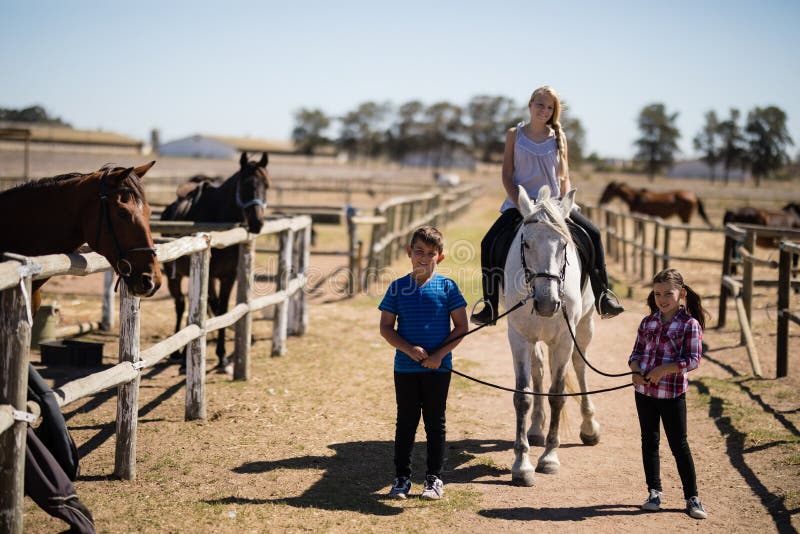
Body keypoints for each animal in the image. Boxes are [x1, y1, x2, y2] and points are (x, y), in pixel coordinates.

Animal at [161, 152, 269, 369]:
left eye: (266, 186)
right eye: (245, 185)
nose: (257, 223)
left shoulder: (229, 277)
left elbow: (222, 310)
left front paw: (223, 356)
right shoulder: (209, 275)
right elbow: (209, 307)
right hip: (173, 276)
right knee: (180, 305)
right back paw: (177, 352)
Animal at [504, 185, 600, 486]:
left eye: (564, 245)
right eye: (526, 244)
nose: (547, 304)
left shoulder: (564, 339)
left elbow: (557, 394)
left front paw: (549, 459)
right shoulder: (519, 337)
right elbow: (522, 396)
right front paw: (522, 465)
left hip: (585, 327)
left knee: (580, 367)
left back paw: (590, 427)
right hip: (535, 338)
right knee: (538, 370)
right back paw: (536, 428)